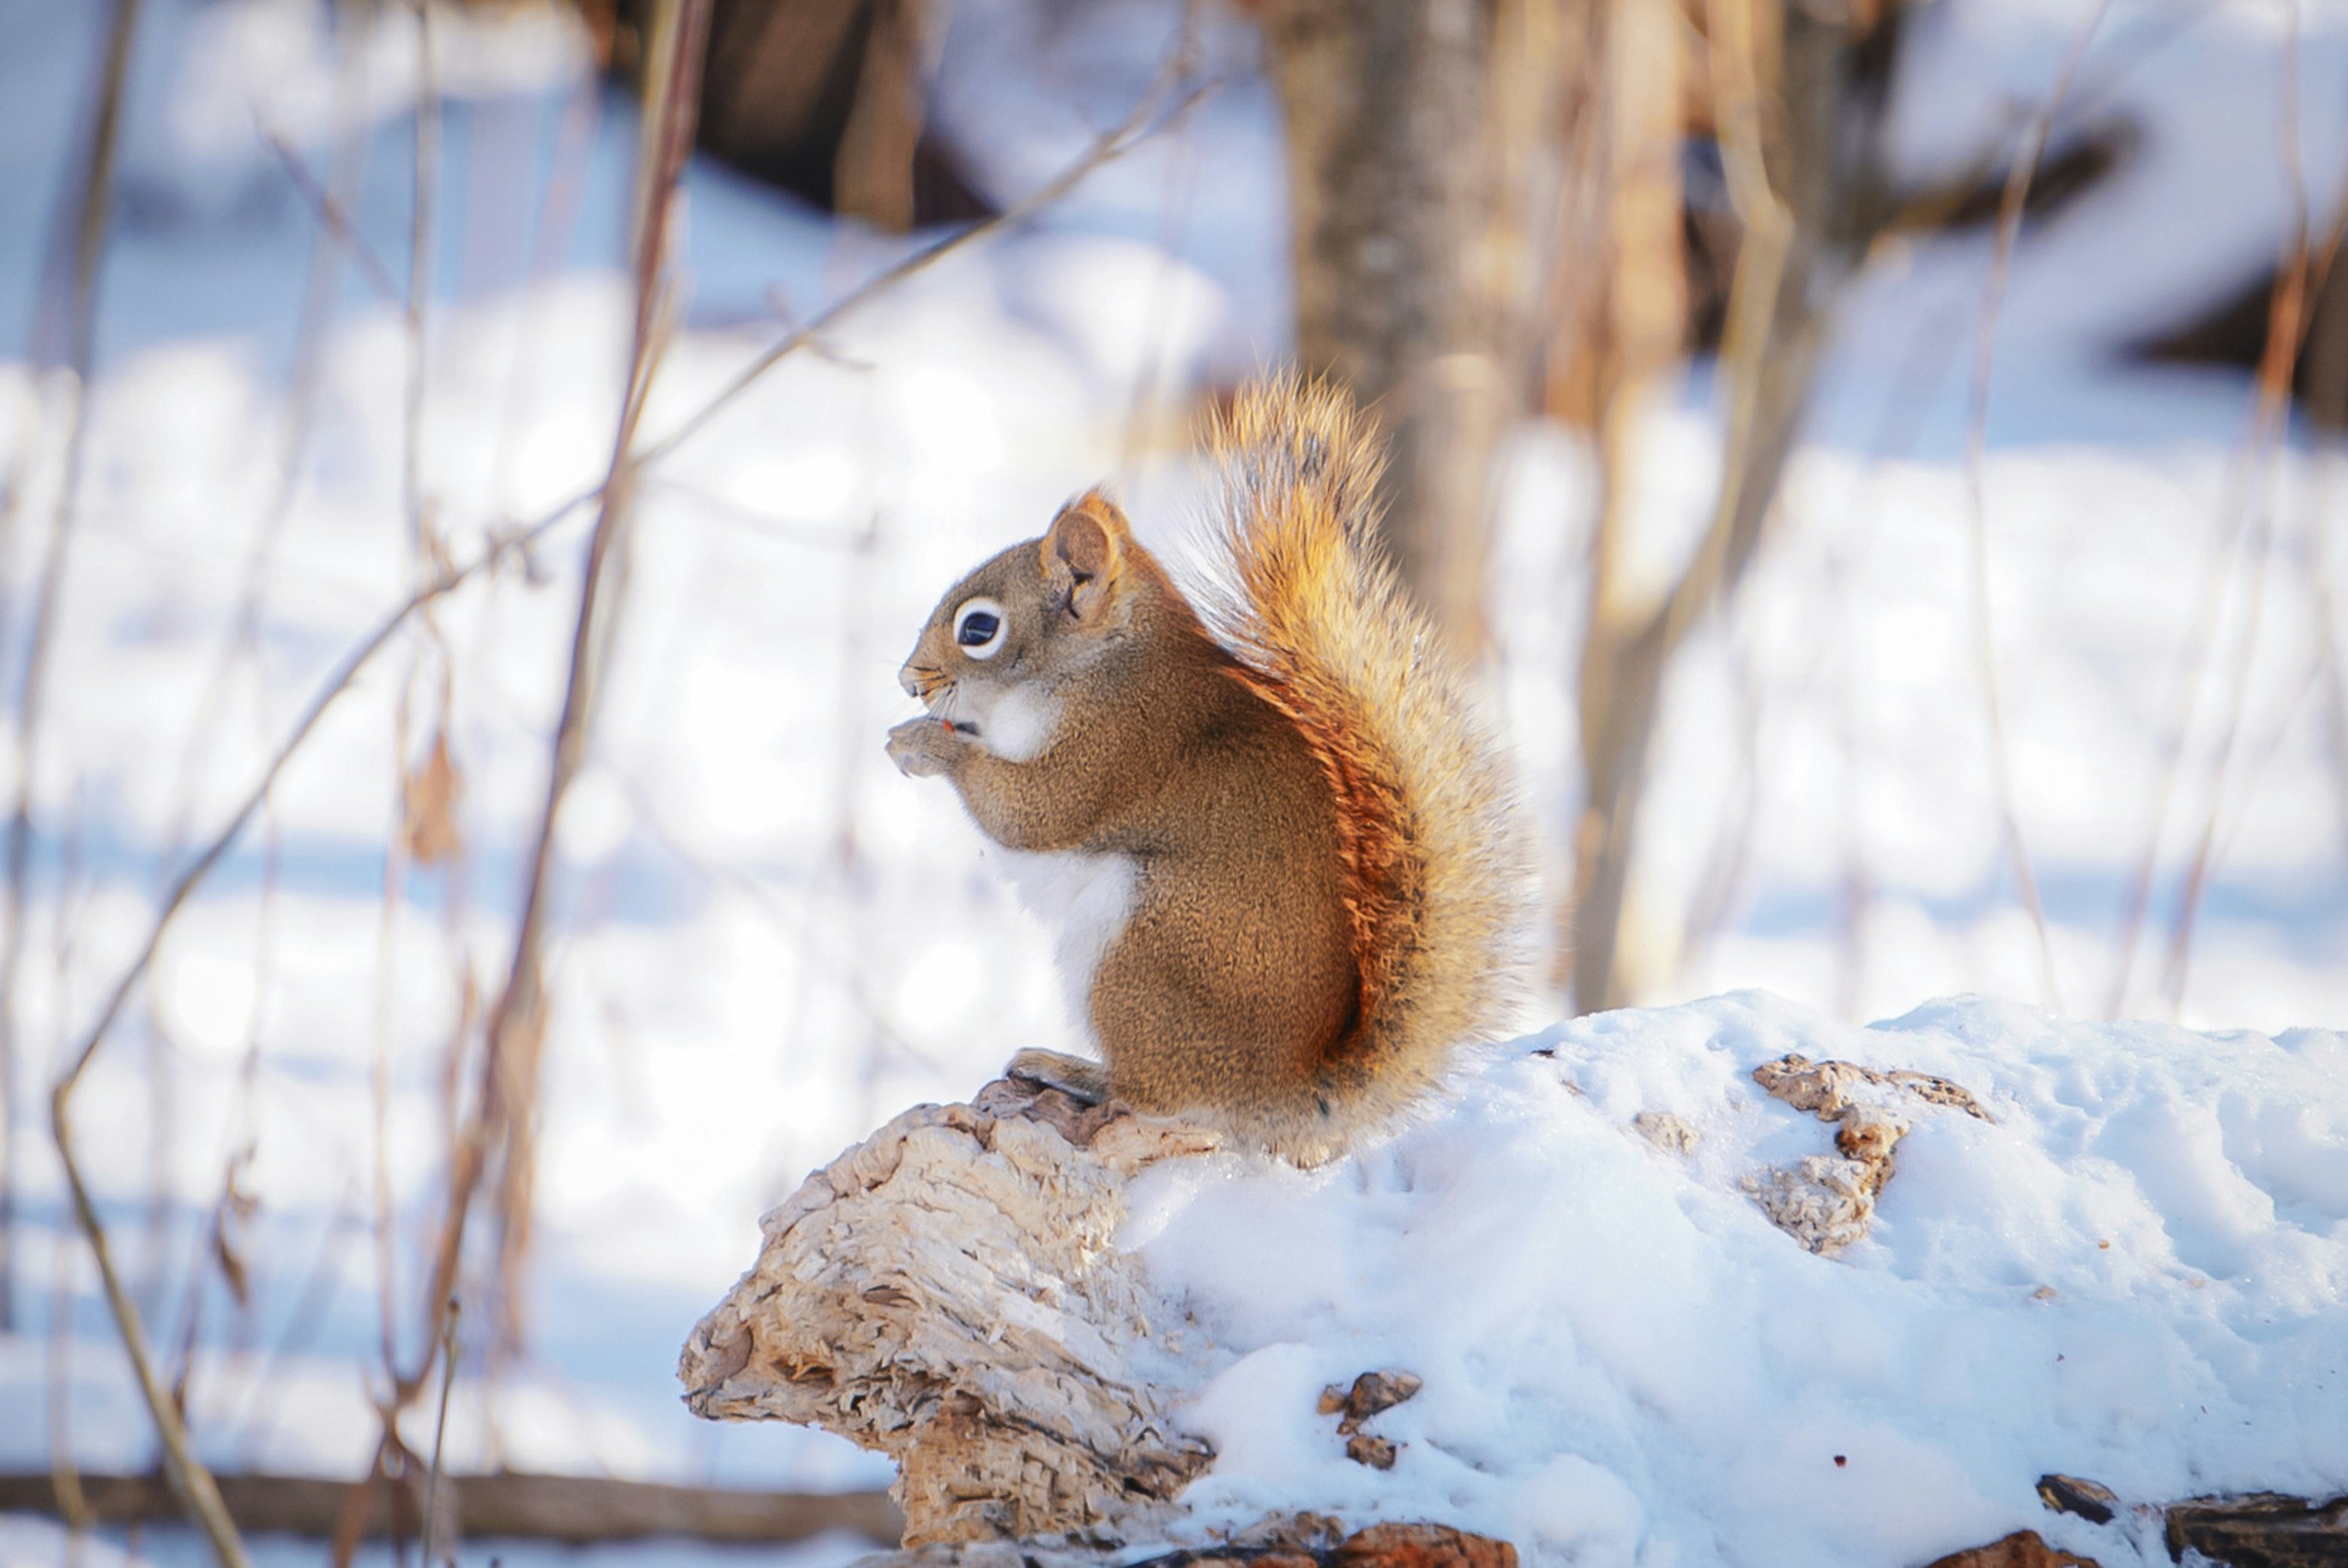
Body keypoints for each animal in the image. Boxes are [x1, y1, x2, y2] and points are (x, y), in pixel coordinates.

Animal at [885, 376, 1532, 1162]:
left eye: (978, 628)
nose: (907, 683)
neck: (1103, 661)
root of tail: (1281, 1093)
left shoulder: (1117, 745)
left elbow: (1033, 811)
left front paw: (923, 745)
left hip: (1140, 945)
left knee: (1155, 1092)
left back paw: (1073, 1071)